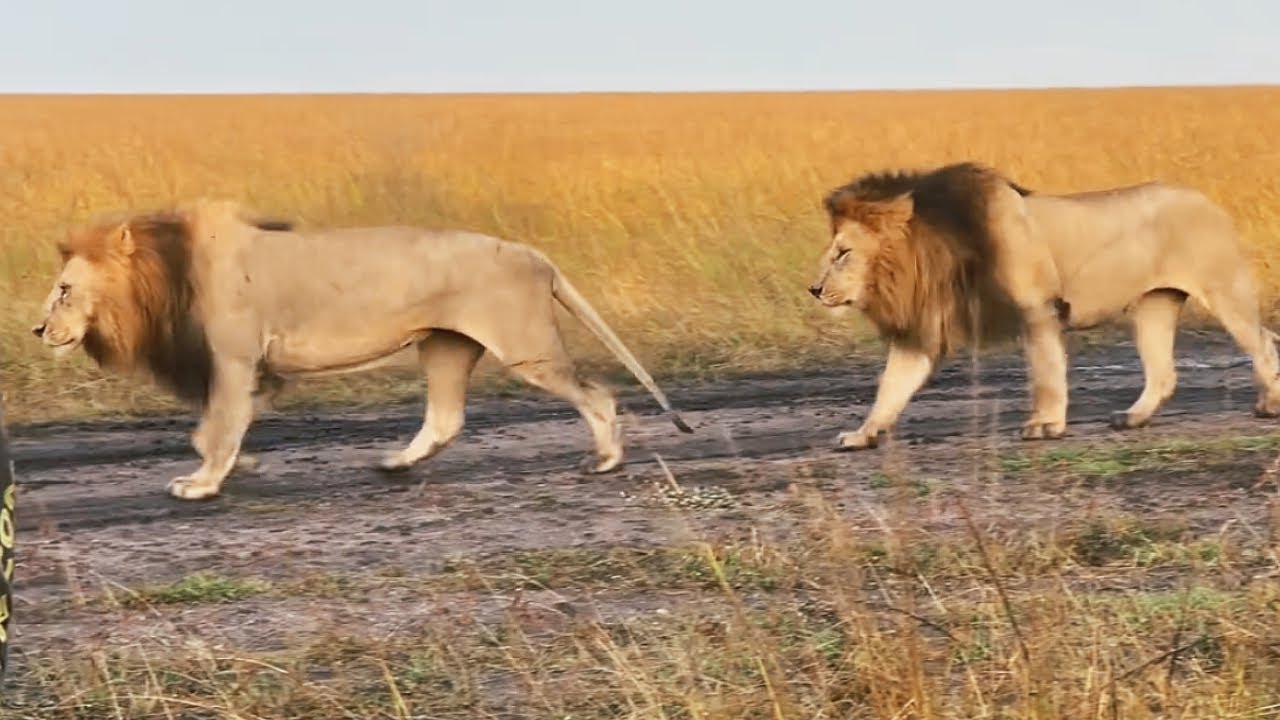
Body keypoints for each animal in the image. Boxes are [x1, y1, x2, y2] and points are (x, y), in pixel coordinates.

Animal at [32, 200, 693, 500]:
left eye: (64, 289)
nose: (38, 331)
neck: (163, 279)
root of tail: (535, 253)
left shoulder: (235, 360)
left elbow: (218, 428)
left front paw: (201, 483)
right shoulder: (254, 370)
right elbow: (221, 427)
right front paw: (237, 465)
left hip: (524, 346)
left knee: (597, 394)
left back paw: (605, 461)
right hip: (446, 347)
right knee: (446, 418)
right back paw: (396, 462)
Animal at [808, 161, 1280, 450]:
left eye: (842, 253)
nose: (813, 288)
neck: (938, 252)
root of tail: (1205, 199)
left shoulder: (1037, 308)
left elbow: (1046, 373)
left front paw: (1045, 425)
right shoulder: (921, 332)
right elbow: (890, 387)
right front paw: (863, 435)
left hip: (1224, 290)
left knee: (1262, 342)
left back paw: (1269, 404)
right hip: (1152, 307)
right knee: (1163, 373)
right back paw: (1132, 418)